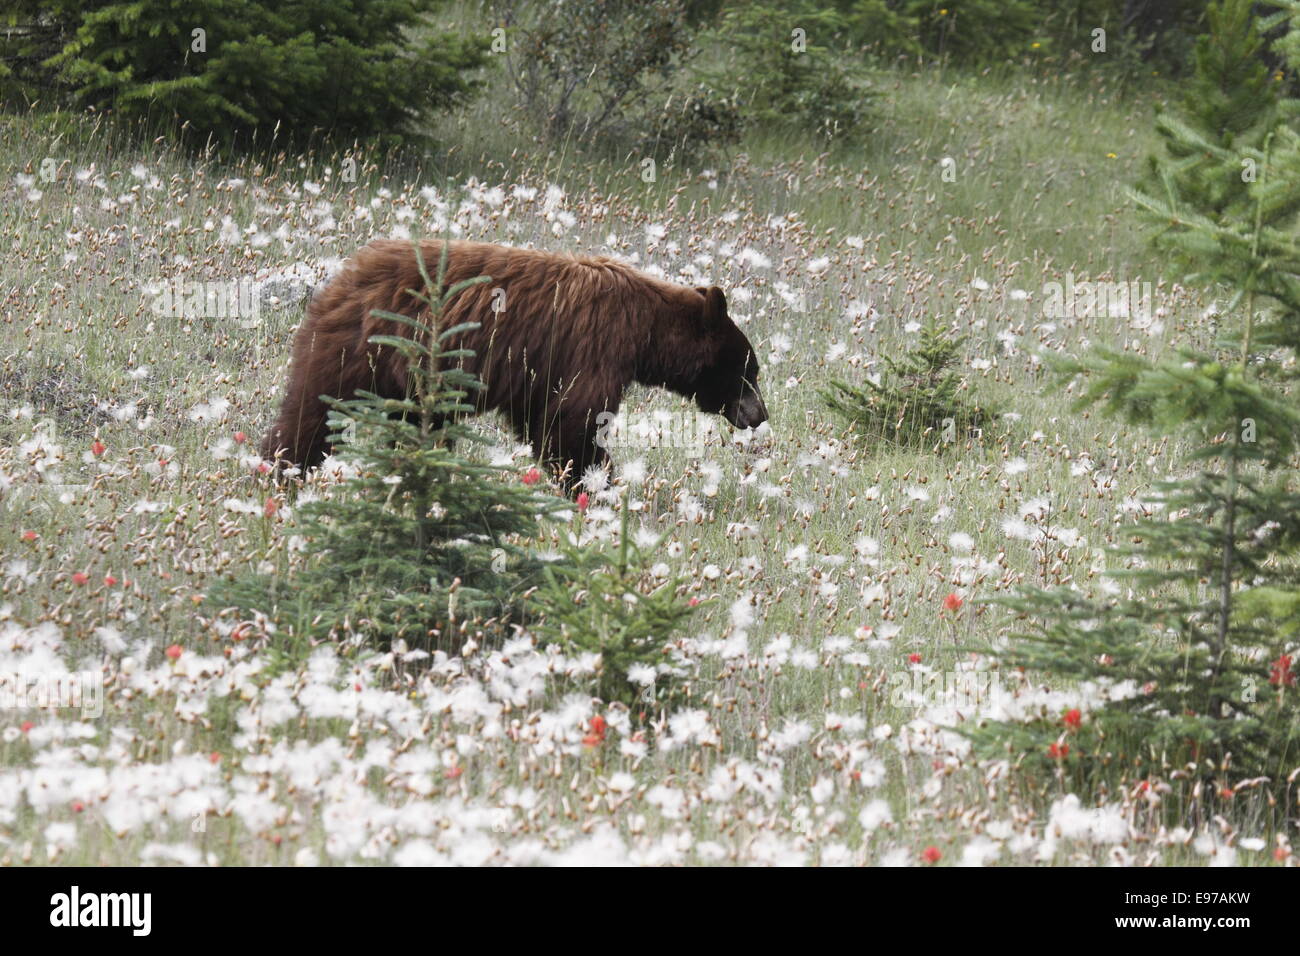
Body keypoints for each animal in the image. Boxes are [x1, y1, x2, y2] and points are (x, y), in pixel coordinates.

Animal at [260, 239, 768, 492]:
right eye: (750, 370)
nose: (760, 415)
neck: (645, 327)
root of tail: (342, 277)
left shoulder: (540, 372)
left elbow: (542, 420)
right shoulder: (593, 348)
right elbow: (572, 423)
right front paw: (596, 486)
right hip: (361, 350)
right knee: (312, 410)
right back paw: (281, 470)